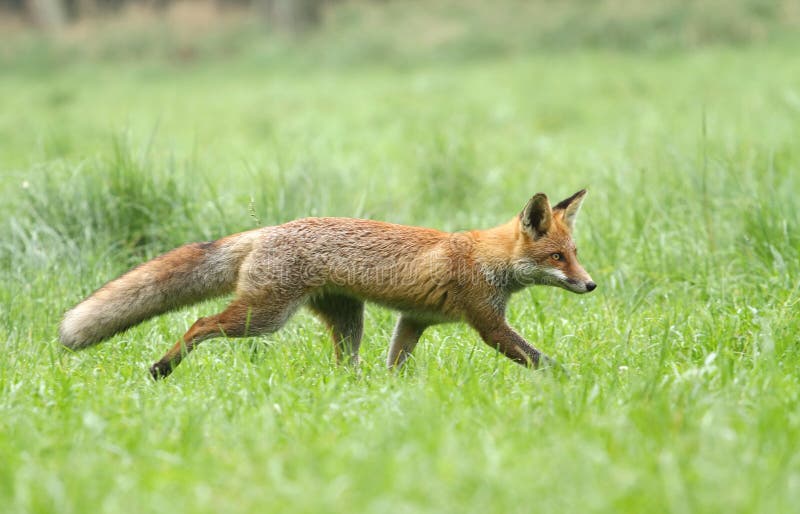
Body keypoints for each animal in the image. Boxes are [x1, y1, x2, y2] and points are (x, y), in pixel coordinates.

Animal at [59, 189, 595, 379]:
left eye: (574, 254)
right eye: (556, 257)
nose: (591, 285)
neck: (486, 258)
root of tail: (269, 229)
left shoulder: (414, 320)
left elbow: (396, 365)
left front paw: (394, 396)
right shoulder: (488, 323)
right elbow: (538, 359)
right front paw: (573, 383)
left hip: (346, 322)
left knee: (345, 368)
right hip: (262, 318)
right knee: (199, 323)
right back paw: (162, 369)